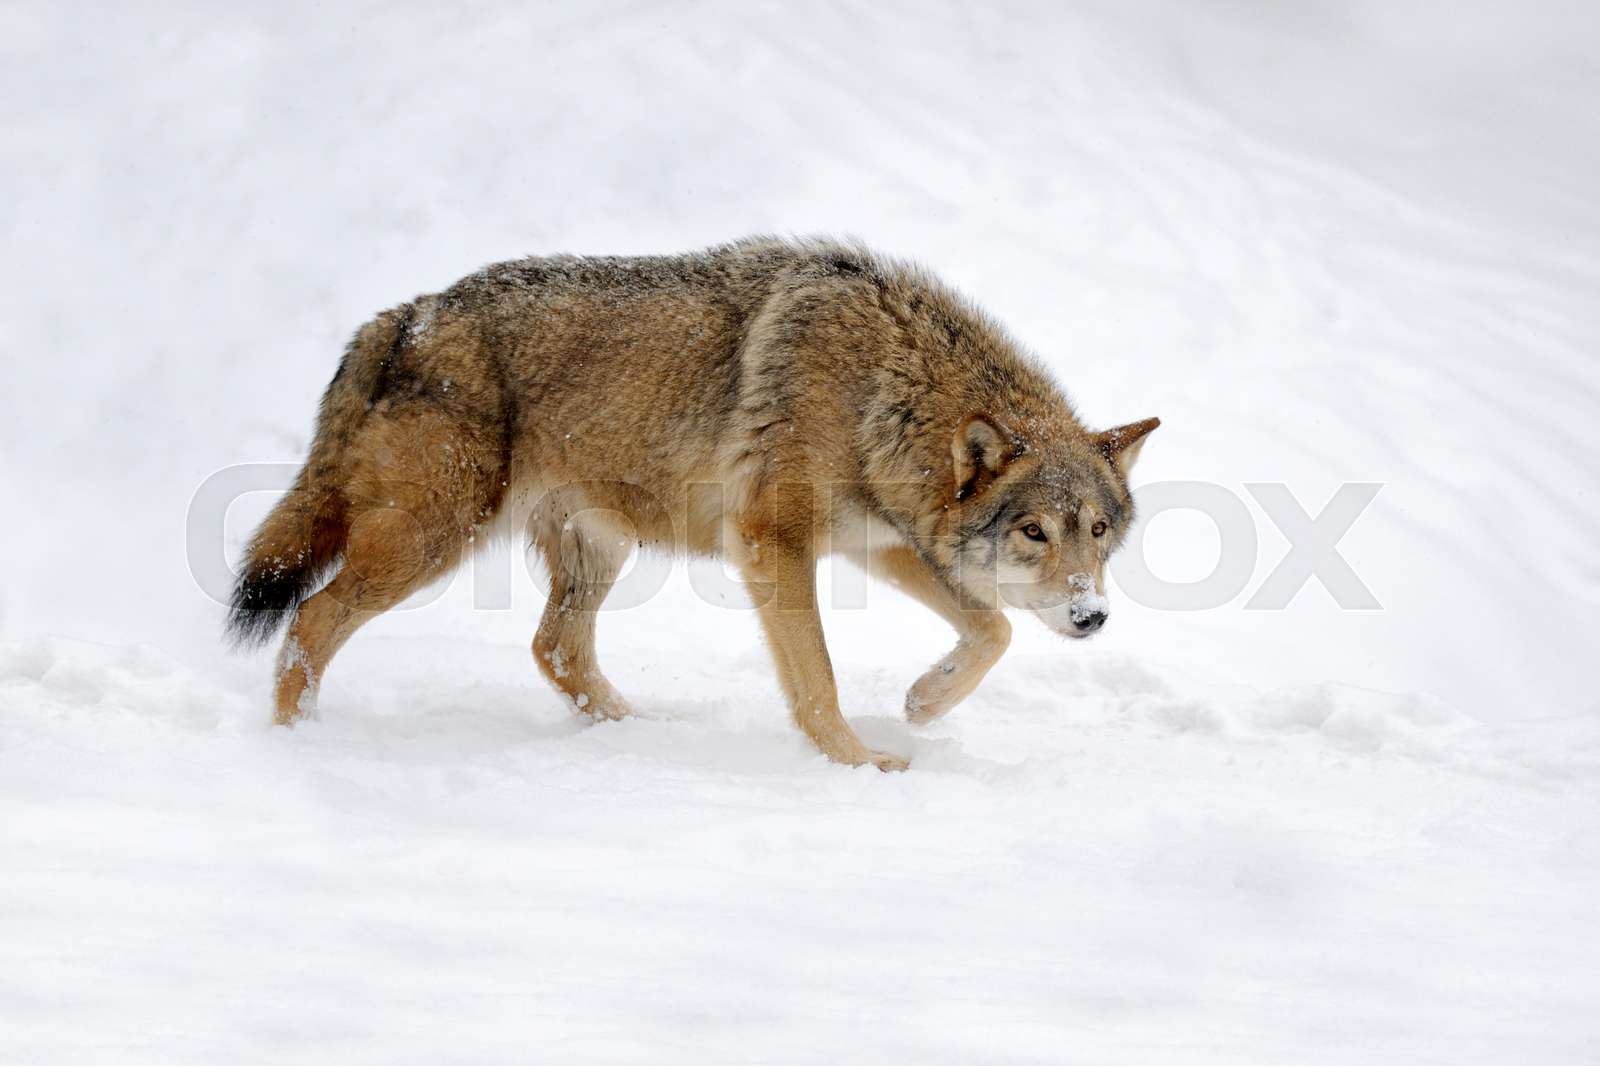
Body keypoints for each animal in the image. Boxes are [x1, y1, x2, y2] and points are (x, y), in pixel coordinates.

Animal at [227, 238, 1158, 770]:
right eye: (1034, 531)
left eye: (1097, 532)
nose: (1091, 618)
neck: (884, 389)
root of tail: (401, 316)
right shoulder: (772, 543)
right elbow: (818, 683)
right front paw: (858, 764)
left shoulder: (878, 541)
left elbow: (992, 629)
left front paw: (924, 704)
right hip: (431, 543)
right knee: (312, 618)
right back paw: (297, 743)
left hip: (594, 550)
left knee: (554, 650)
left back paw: (638, 733)